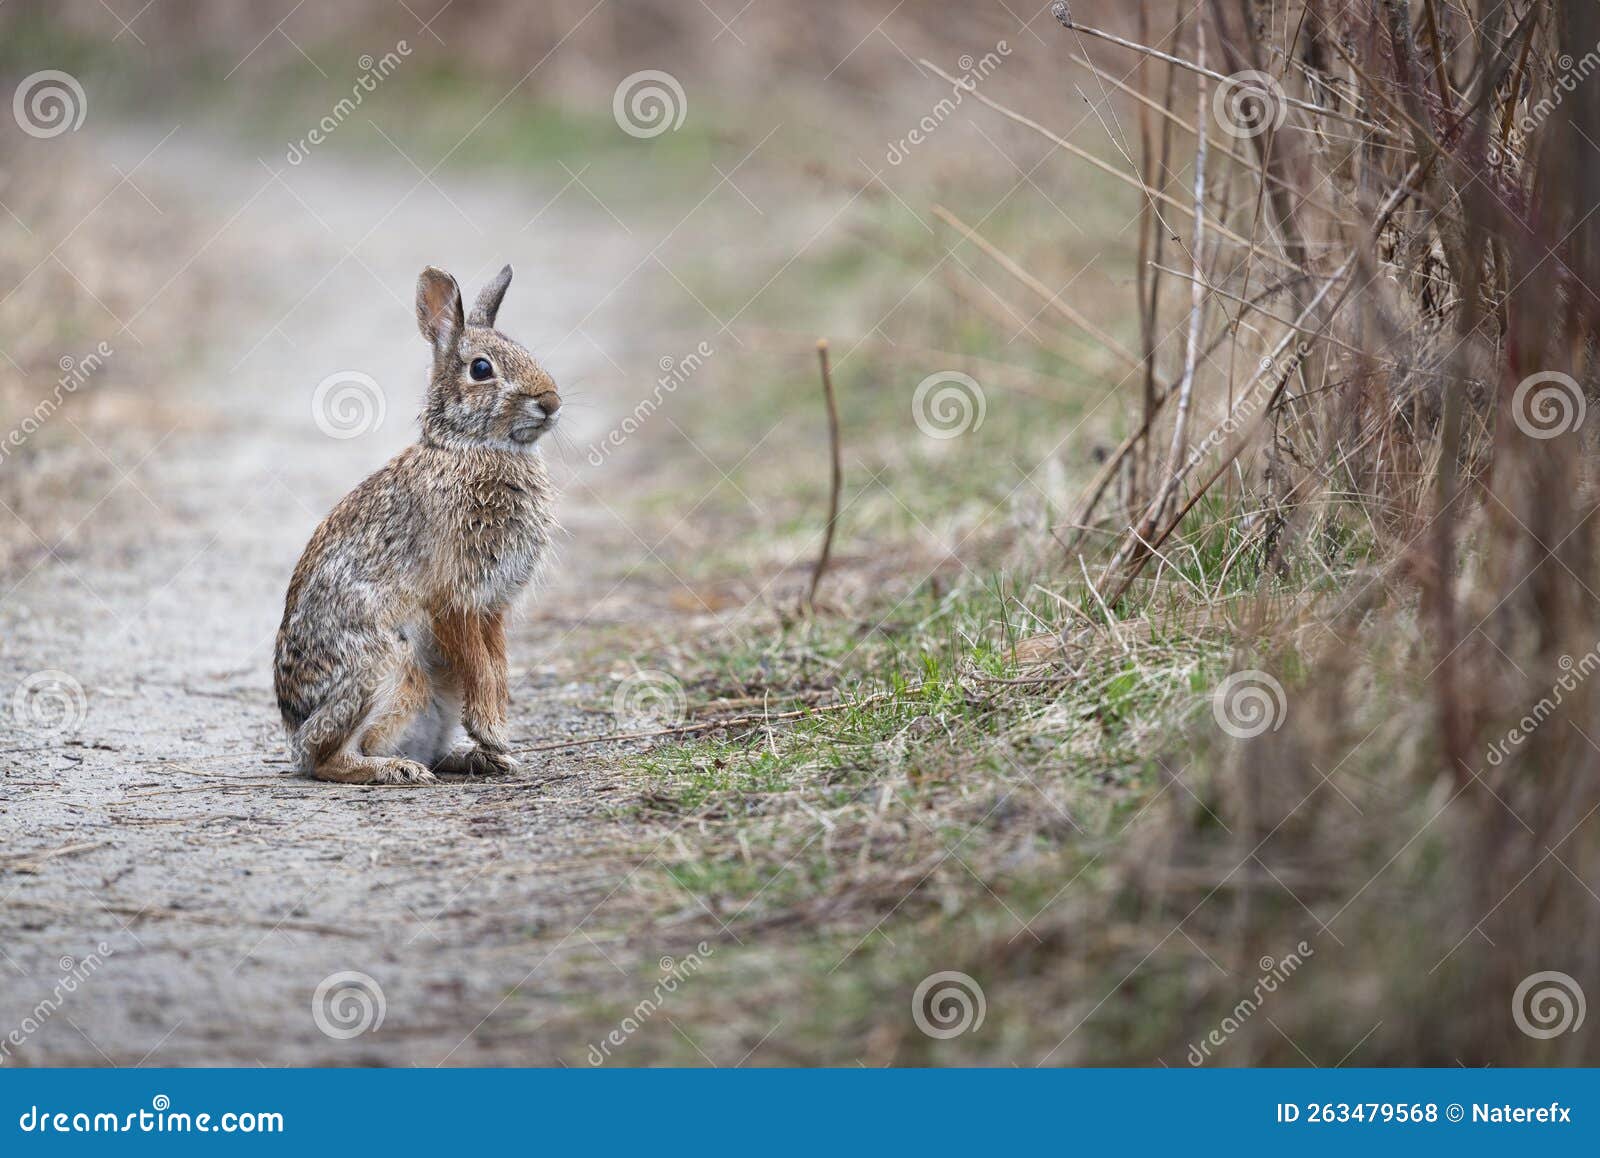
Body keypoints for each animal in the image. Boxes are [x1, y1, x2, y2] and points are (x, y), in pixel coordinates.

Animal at [273, 264, 560, 785]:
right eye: (482, 369)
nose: (550, 401)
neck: (468, 447)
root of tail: (293, 735)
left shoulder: (493, 605)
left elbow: (498, 666)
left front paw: (498, 741)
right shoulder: (455, 597)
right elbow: (481, 667)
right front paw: (492, 731)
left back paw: (473, 760)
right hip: (385, 667)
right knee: (327, 758)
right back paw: (396, 769)